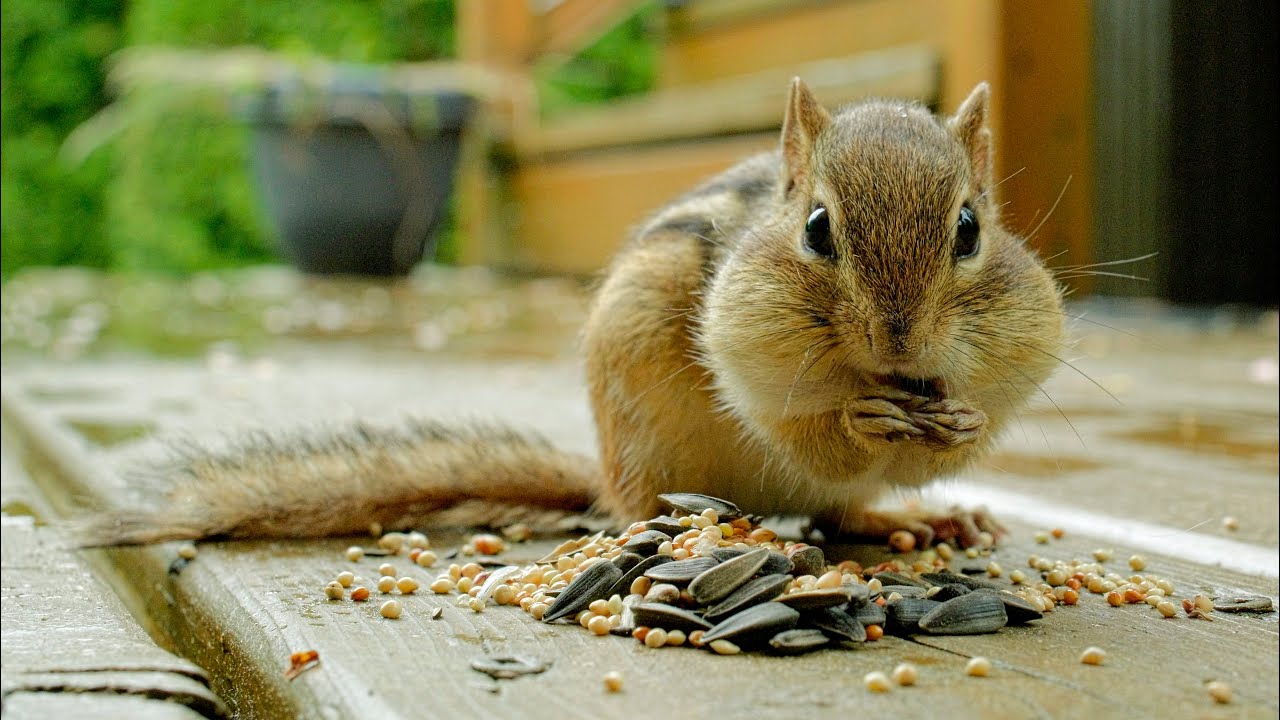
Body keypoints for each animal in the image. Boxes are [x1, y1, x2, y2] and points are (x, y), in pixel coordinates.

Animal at [84, 80, 1065, 549]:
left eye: (969, 228)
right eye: (818, 230)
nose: (898, 338)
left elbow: (966, 434)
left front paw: (961, 424)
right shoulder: (745, 352)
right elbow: (804, 434)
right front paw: (859, 416)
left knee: (839, 514)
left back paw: (917, 523)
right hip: (644, 438)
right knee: (672, 506)